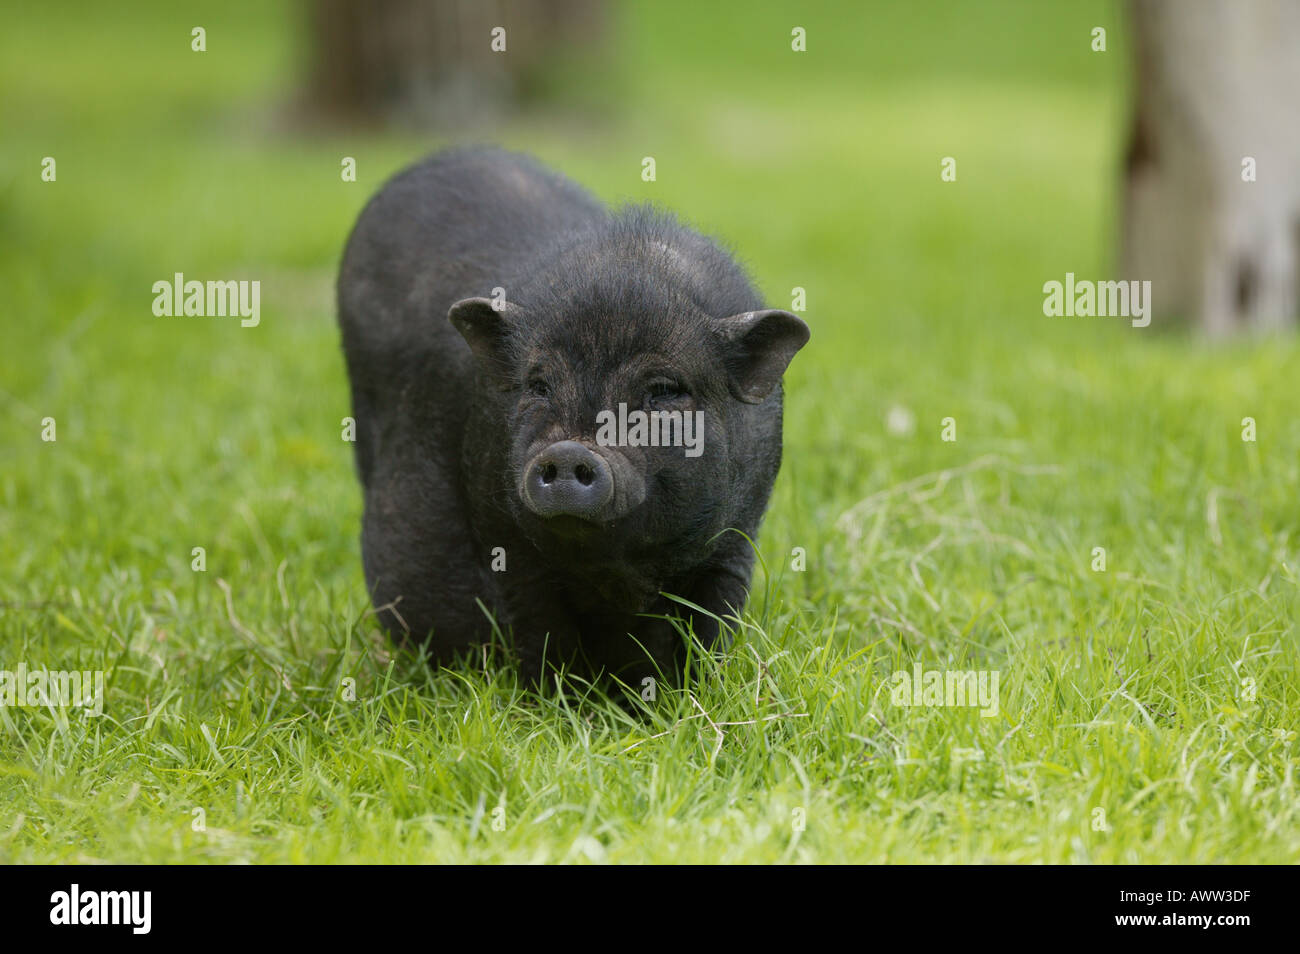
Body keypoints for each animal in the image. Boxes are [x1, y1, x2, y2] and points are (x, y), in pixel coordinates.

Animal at [337, 146, 808, 685]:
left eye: (665, 390)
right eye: (538, 385)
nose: (567, 450)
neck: (615, 574)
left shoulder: (737, 537)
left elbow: (711, 628)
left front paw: (695, 694)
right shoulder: (507, 545)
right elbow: (542, 633)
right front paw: (555, 699)